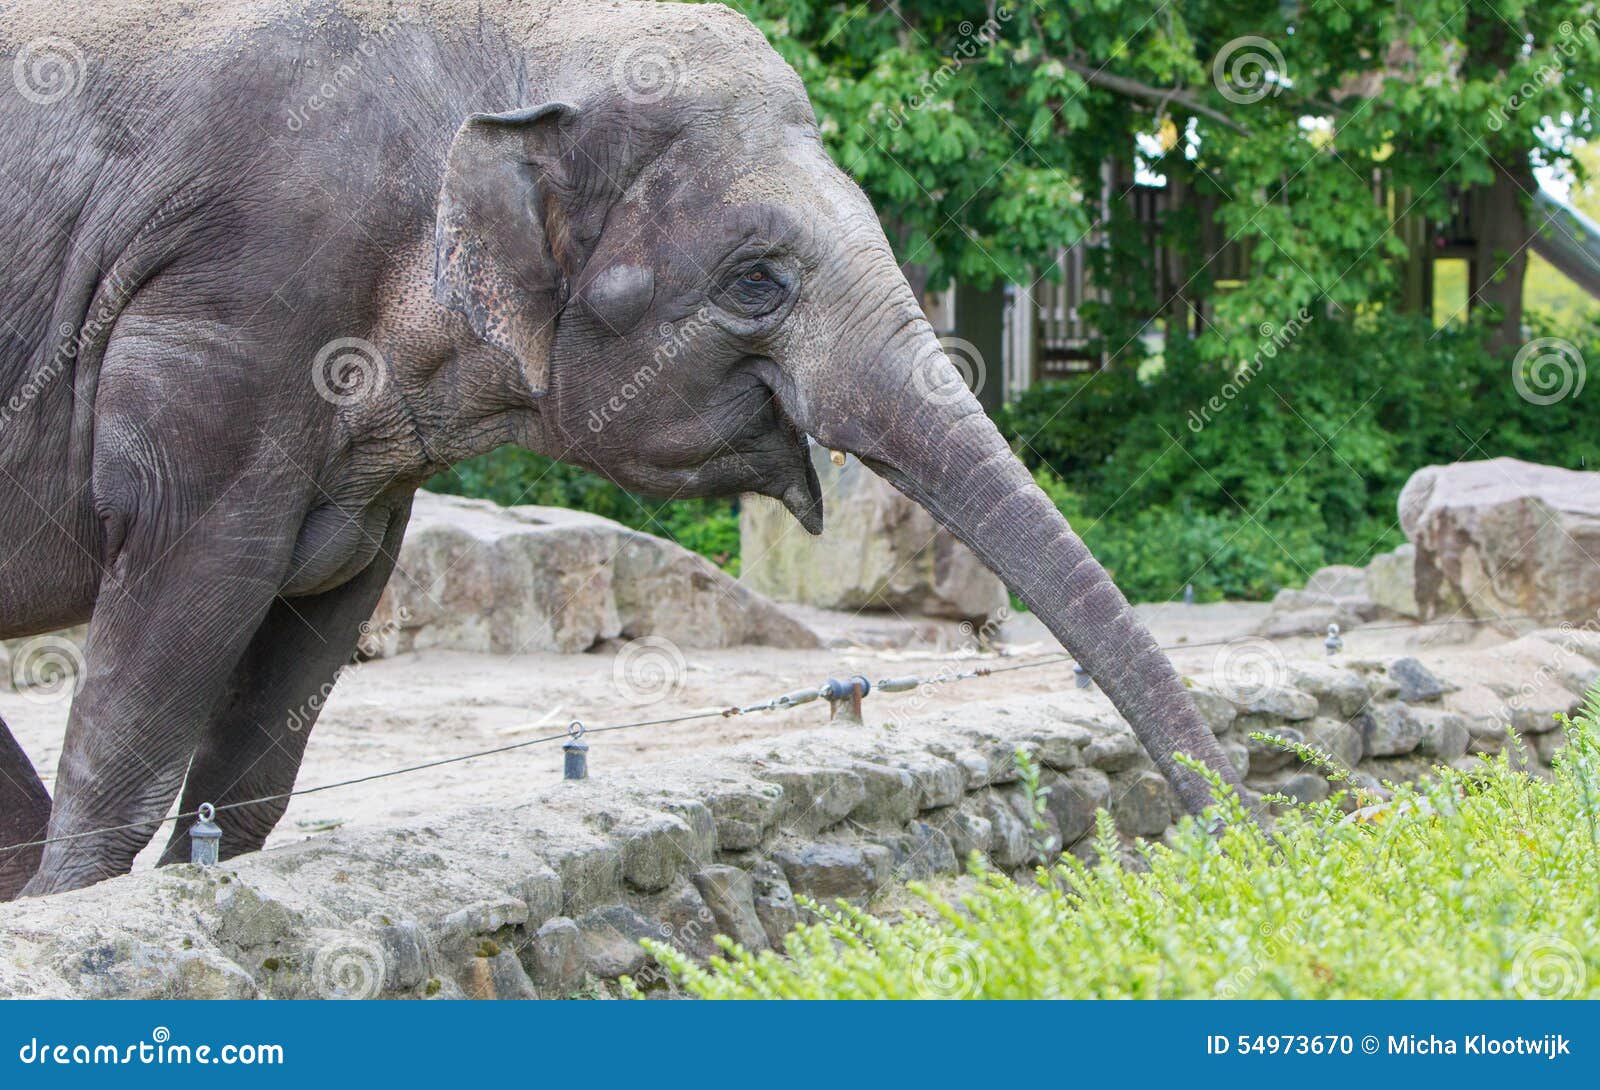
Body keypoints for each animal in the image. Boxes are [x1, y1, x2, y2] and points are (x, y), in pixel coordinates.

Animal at [0, 0, 1238, 899]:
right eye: (757, 280)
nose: (1261, 848)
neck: (505, 40)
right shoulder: (237, 307)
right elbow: (194, 579)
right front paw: (79, 905)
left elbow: (312, 632)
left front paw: (177, 882)